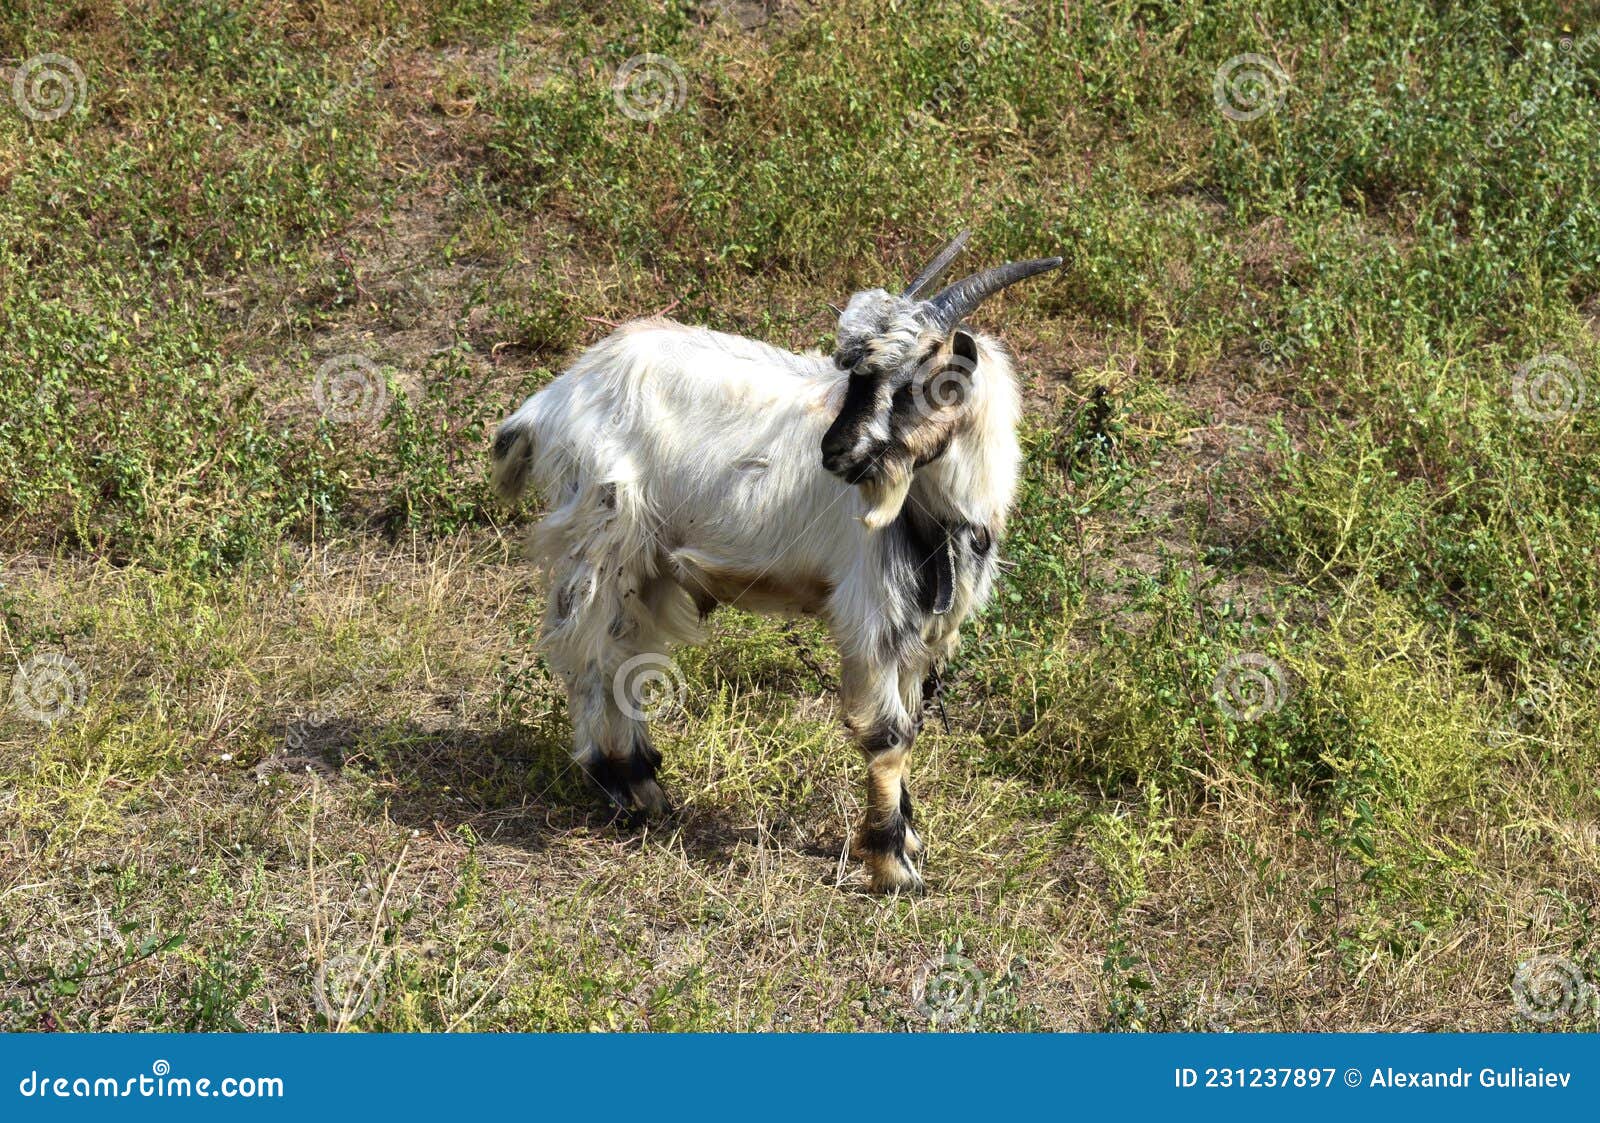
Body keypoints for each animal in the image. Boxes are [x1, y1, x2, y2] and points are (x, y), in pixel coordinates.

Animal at [490, 234, 1061, 892]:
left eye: (921, 380)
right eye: (855, 373)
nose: (835, 453)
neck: (938, 511)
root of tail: (556, 396)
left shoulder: (924, 623)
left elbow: (913, 720)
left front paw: (908, 837)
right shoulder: (872, 613)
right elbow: (888, 734)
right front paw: (893, 866)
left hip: (647, 564)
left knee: (621, 654)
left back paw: (643, 780)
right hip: (600, 536)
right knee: (583, 652)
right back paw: (614, 786)